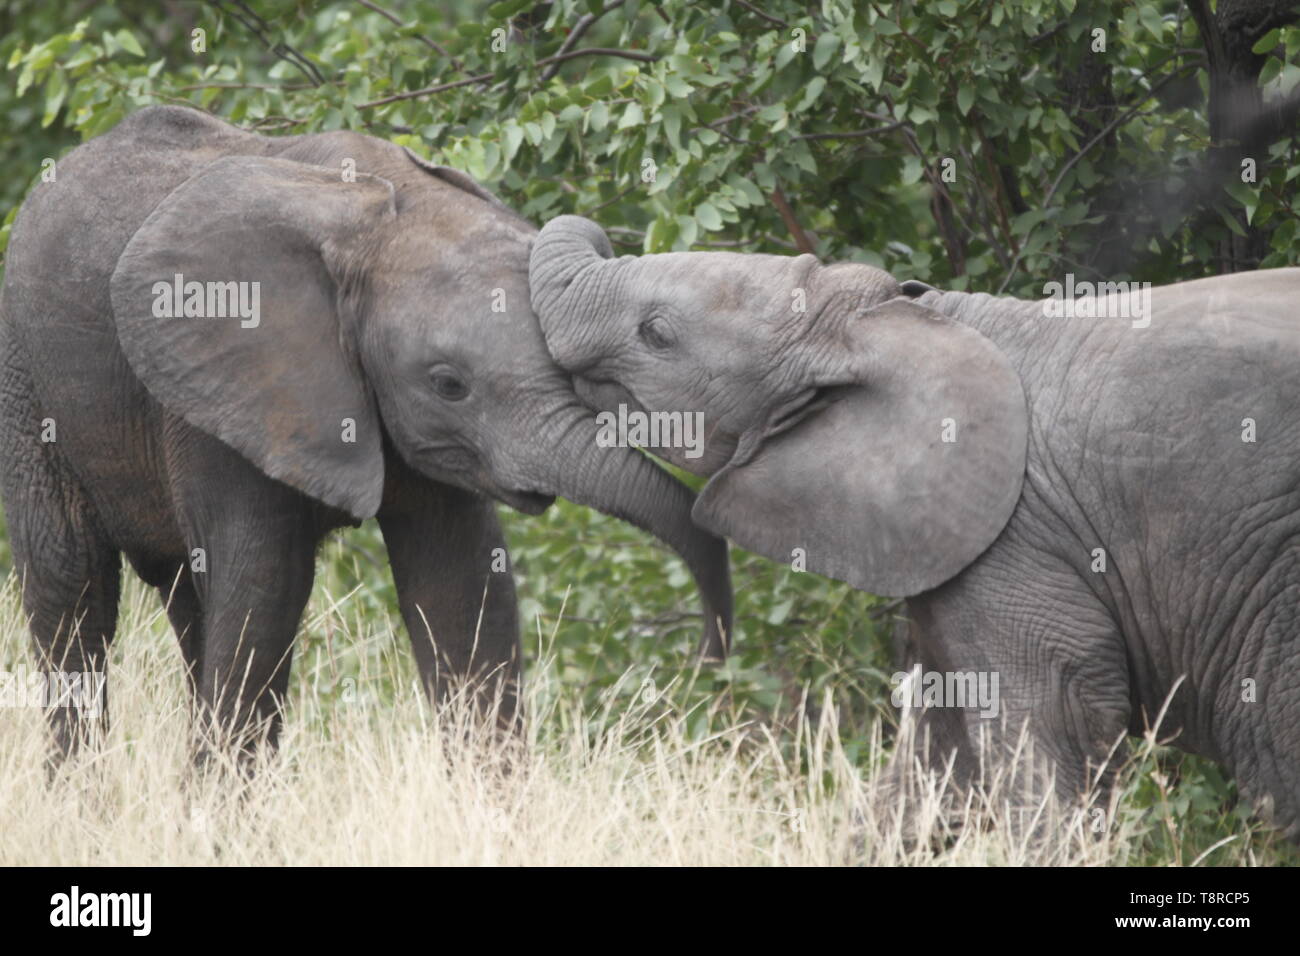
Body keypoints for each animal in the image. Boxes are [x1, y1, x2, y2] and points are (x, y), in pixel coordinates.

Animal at [0, 108, 731, 761]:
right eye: (448, 384)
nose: (707, 658)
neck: (371, 212)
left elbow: (463, 588)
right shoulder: (213, 397)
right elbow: (265, 588)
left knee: (185, 605)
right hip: (28, 383)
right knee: (72, 588)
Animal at [529, 213, 1300, 838]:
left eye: (656, 334)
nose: (703, 662)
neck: (900, 322)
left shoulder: (1017, 541)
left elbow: (1054, 730)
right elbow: (934, 767)